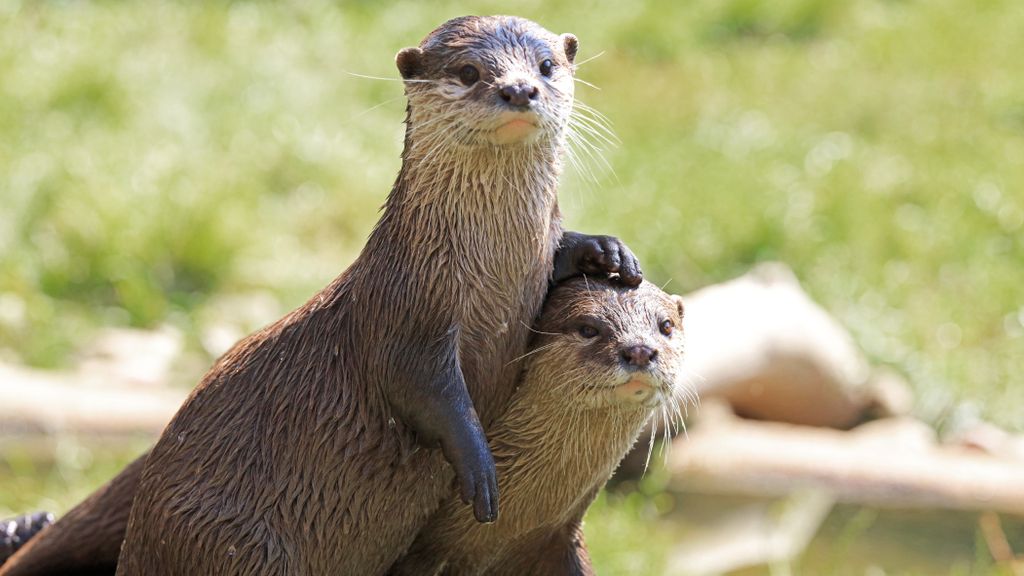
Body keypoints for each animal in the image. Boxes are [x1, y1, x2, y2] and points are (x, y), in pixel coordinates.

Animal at [91, 15, 639, 576]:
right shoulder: (404, 313)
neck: (488, 275)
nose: (519, 89)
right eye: (469, 72)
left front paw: (605, 252)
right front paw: (481, 467)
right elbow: (424, 389)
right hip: (235, 545)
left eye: (546, 66)